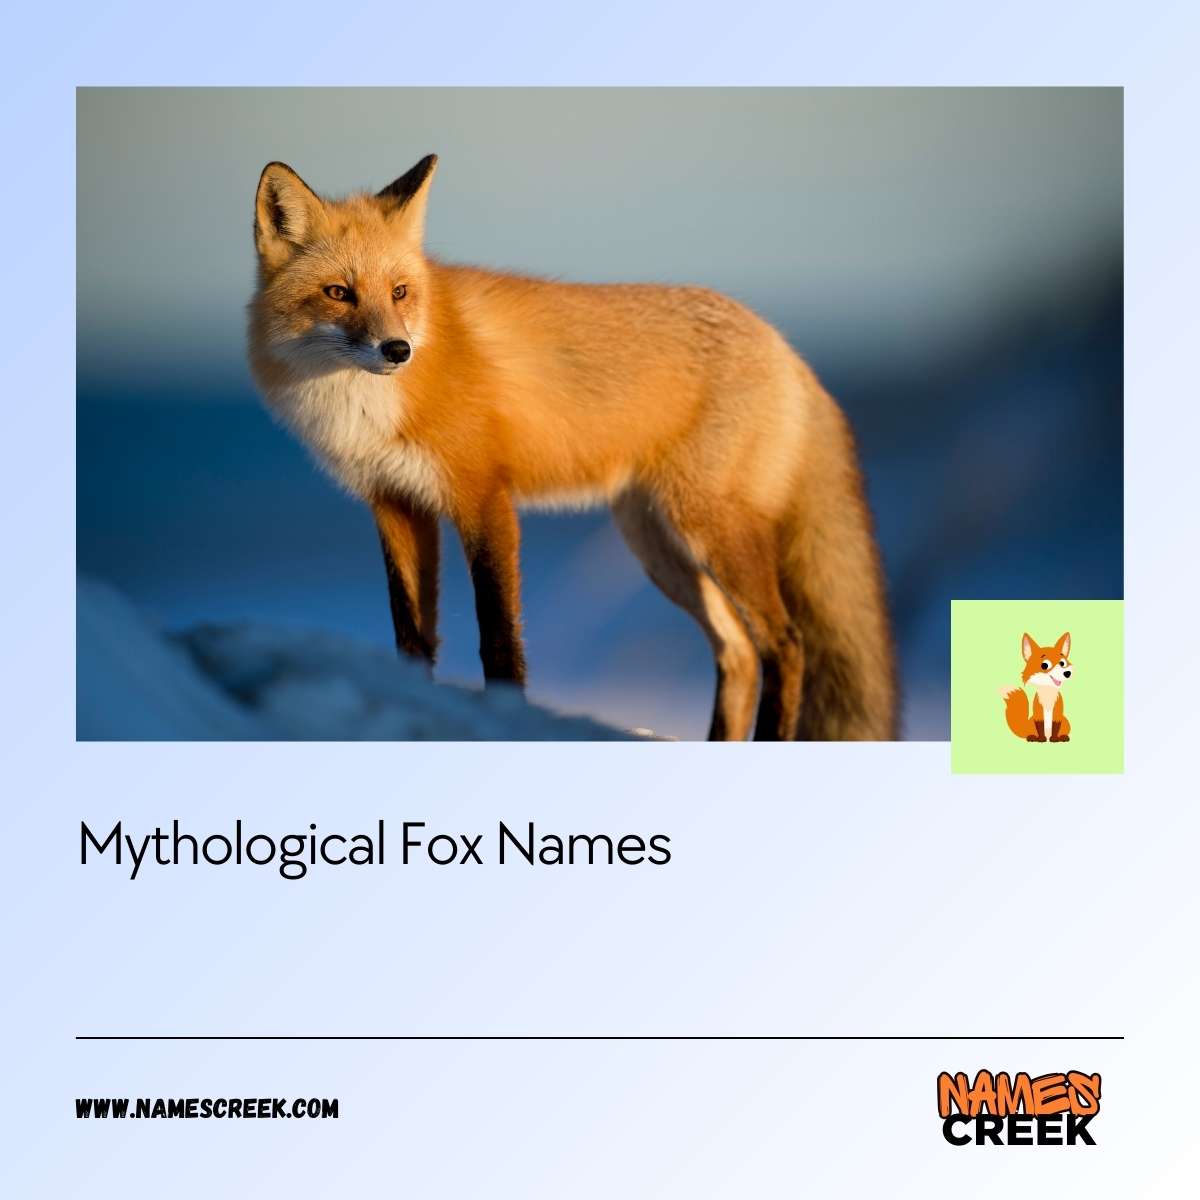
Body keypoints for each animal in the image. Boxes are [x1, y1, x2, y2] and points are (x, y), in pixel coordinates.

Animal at [246, 154, 897, 740]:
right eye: (339, 292)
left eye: (400, 291)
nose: (397, 350)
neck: (364, 407)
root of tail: (786, 348)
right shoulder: (395, 504)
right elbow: (412, 637)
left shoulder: (484, 498)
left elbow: (498, 638)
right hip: (659, 546)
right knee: (737, 652)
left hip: (709, 530)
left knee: (785, 644)